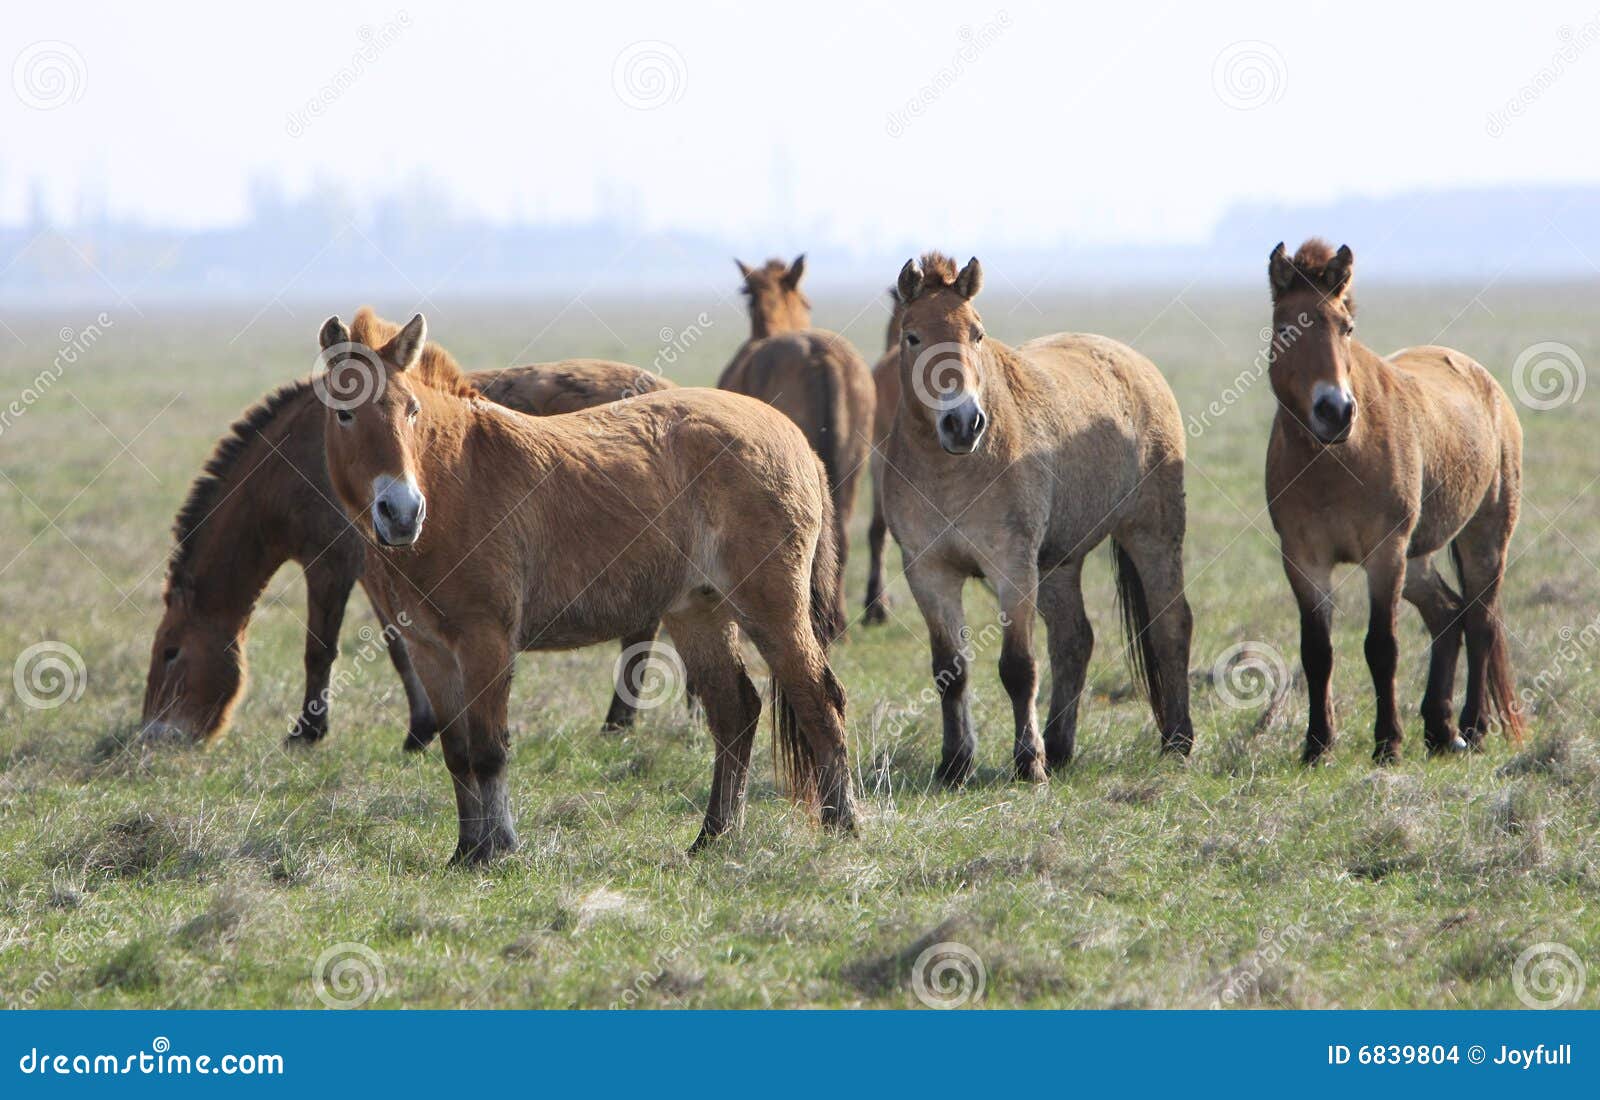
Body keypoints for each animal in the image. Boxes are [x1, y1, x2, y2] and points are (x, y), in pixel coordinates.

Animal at [140, 330, 677, 751]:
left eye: (170, 652)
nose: (152, 735)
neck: (298, 460)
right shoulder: (381, 568)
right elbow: (400, 649)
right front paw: (423, 729)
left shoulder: (332, 564)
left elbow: (321, 648)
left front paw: (308, 732)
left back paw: (617, 723)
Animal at [317, 310, 855, 862]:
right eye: (345, 415)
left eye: (412, 411)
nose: (401, 513)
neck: (454, 480)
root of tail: (796, 439)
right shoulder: (431, 652)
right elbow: (458, 754)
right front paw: (466, 851)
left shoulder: (486, 642)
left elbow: (489, 751)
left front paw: (498, 849)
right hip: (699, 612)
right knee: (735, 712)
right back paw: (713, 836)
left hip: (772, 609)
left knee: (820, 700)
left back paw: (842, 826)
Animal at [882, 252, 1195, 785]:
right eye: (912, 336)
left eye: (977, 334)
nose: (963, 423)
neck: (952, 470)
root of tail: (1132, 362)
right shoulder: (929, 572)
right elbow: (951, 670)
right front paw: (955, 764)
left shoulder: (1012, 567)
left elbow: (1018, 668)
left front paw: (1028, 762)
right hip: (1056, 566)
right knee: (1073, 640)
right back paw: (1062, 746)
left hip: (1152, 534)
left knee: (1171, 624)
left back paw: (1177, 741)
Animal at [1264, 239, 1526, 763]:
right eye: (1285, 328)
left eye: (1346, 327)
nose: (1335, 410)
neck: (1335, 460)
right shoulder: (1304, 559)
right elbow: (1316, 652)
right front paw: (1317, 745)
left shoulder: (1384, 554)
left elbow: (1381, 646)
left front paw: (1387, 743)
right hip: (1417, 558)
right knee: (1447, 614)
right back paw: (1441, 730)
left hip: (1483, 539)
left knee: (1480, 622)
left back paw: (1474, 727)